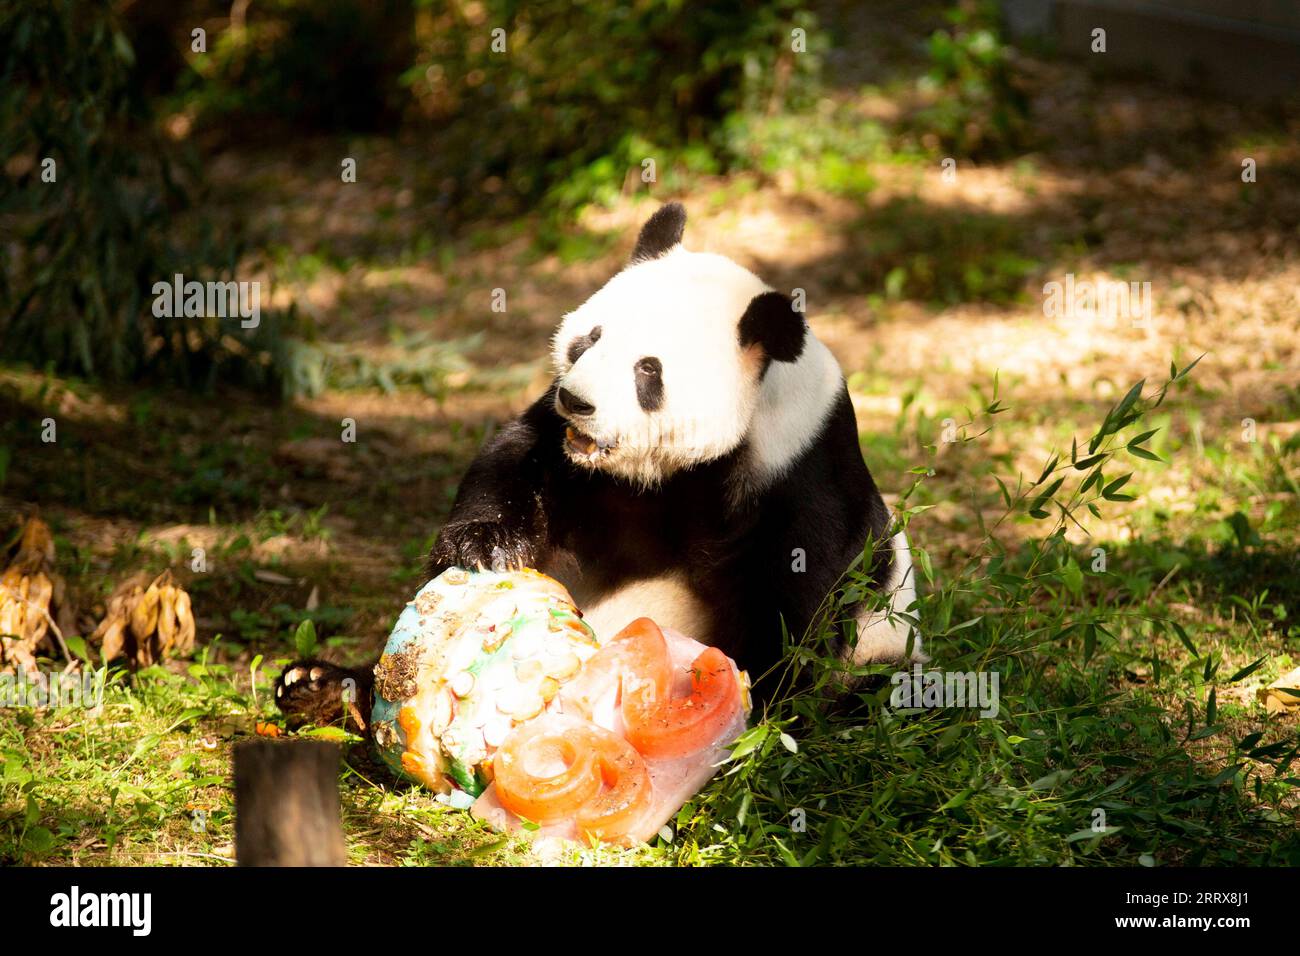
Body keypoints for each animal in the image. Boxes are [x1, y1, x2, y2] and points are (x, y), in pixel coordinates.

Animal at [276, 202, 919, 724]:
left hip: (886, 653)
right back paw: (322, 687)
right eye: (590, 338)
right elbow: (514, 458)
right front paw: (485, 546)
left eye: (648, 370)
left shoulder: (803, 471)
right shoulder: (571, 456)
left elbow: (793, 613)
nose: (577, 400)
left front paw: (745, 707)